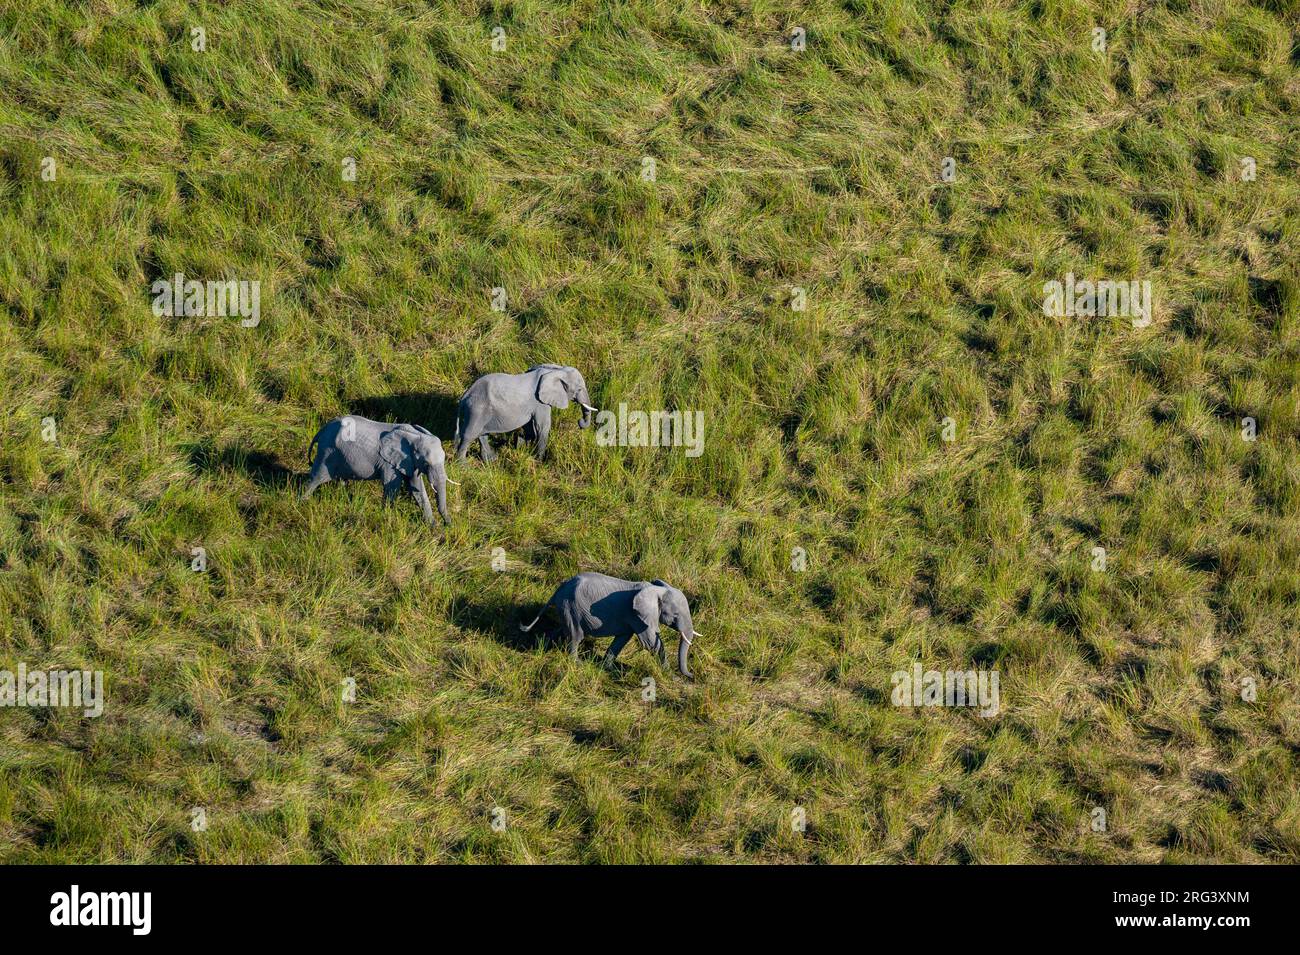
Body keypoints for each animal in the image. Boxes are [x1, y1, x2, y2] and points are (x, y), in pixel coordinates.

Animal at [302, 415, 453, 526]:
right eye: (426, 463)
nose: (448, 524)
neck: (414, 435)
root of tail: (323, 428)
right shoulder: (388, 462)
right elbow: (392, 486)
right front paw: (386, 517)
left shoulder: (409, 462)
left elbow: (417, 487)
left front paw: (432, 526)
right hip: (327, 451)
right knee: (316, 478)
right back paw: (303, 502)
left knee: (341, 480)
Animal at [455, 364, 597, 462]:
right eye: (579, 389)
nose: (580, 422)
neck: (557, 370)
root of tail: (465, 395)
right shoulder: (540, 403)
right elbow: (542, 427)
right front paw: (539, 460)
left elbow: (530, 426)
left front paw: (522, 447)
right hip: (477, 409)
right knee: (469, 435)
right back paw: (463, 466)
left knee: (482, 433)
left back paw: (491, 459)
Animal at [519, 572, 699, 679]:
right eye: (675, 616)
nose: (692, 674)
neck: (655, 589)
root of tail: (560, 587)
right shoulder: (636, 615)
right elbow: (651, 643)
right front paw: (671, 675)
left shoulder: (630, 619)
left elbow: (622, 639)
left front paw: (609, 668)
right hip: (571, 606)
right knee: (576, 635)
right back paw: (577, 663)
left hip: (566, 608)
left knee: (563, 630)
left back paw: (542, 646)